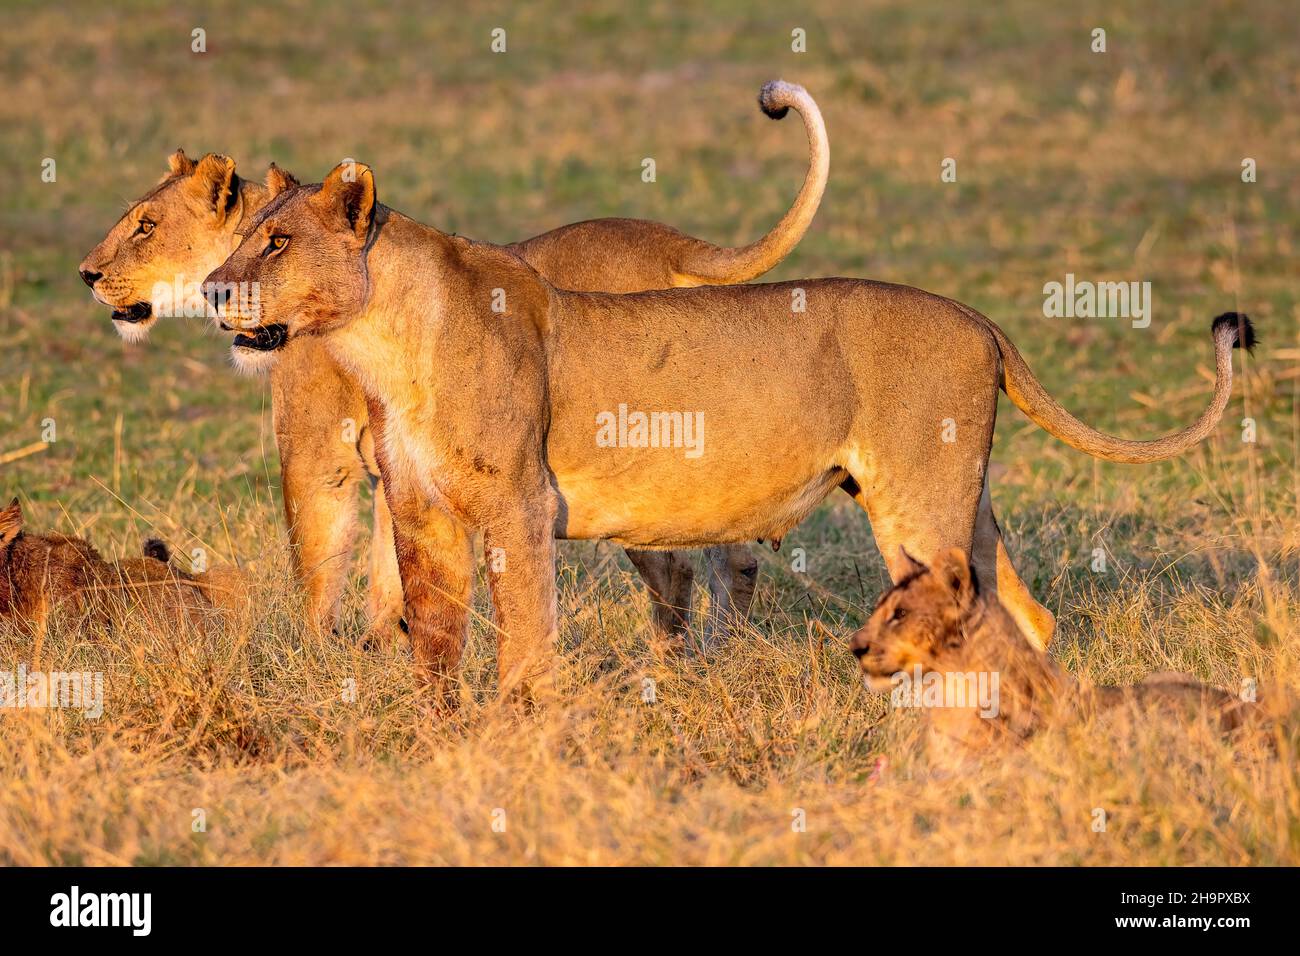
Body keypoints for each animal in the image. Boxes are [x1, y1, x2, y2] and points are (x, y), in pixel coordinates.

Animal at [78, 80, 830, 644]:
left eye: (145, 226)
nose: (86, 274)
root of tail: (672, 239)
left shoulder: (319, 455)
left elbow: (315, 564)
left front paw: (314, 659)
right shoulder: (397, 458)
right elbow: (391, 573)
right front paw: (386, 650)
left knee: (679, 571)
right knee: (734, 558)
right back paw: (717, 657)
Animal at [202, 157, 1253, 700]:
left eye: (279, 242)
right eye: (247, 231)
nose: (213, 288)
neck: (383, 337)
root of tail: (979, 320)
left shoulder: (520, 507)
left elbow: (527, 640)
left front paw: (518, 728)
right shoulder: (420, 513)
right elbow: (430, 635)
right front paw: (434, 730)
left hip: (919, 505)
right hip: (964, 502)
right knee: (1028, 617)